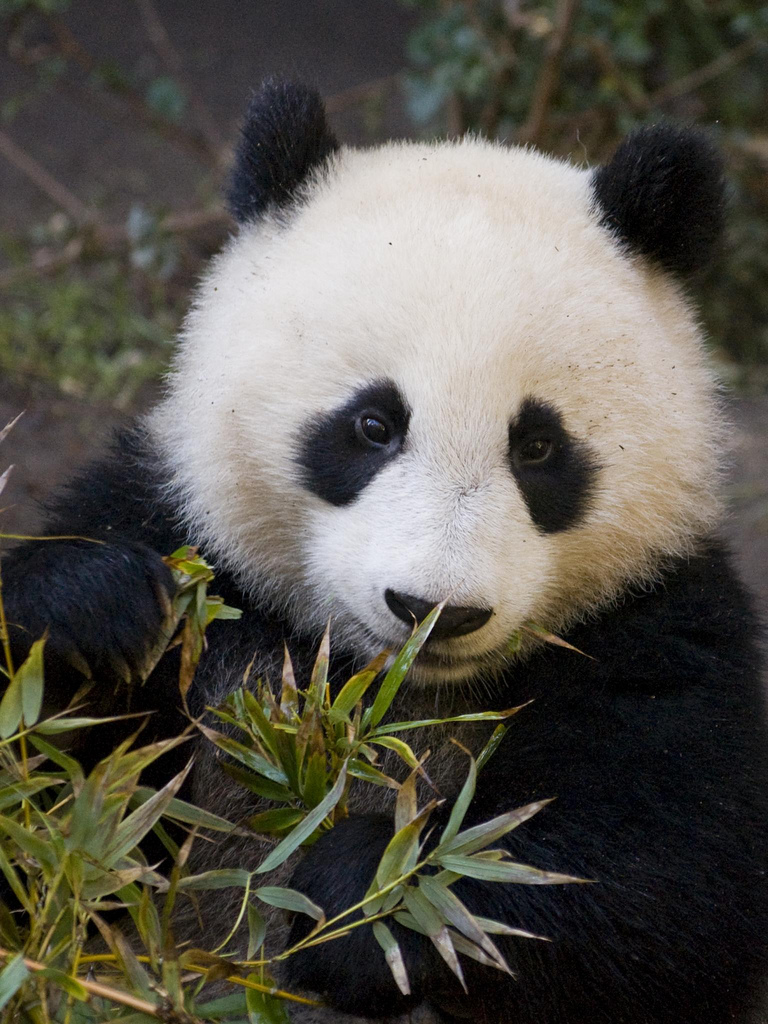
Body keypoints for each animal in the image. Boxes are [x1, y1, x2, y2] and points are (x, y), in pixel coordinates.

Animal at [3, 78, 768, 1023]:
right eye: (373, 424)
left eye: (539, 447)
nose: (434, 610)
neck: (383, 690)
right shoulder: (186, 541)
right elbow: (56, 809)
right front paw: (95, 612)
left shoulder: (657, 618)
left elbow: (663, 881)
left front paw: (371, 892)